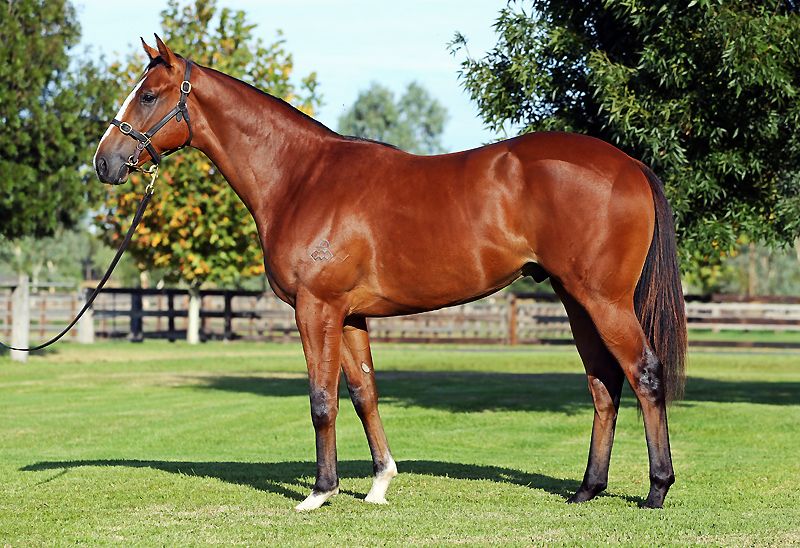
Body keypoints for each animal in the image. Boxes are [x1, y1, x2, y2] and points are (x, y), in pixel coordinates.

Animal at [94, 36, 687, 511]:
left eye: (148, 96)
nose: (104, 162)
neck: (301, 177)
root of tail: (630, 165)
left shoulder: (316, 308)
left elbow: (322, 400)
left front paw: (321, 491)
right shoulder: (350, 315)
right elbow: (364, 395)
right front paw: (379, 483)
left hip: (604, 300)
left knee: (644, 374)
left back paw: (657, 489)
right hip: (574, 299)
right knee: (604, 384)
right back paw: (588, 489)